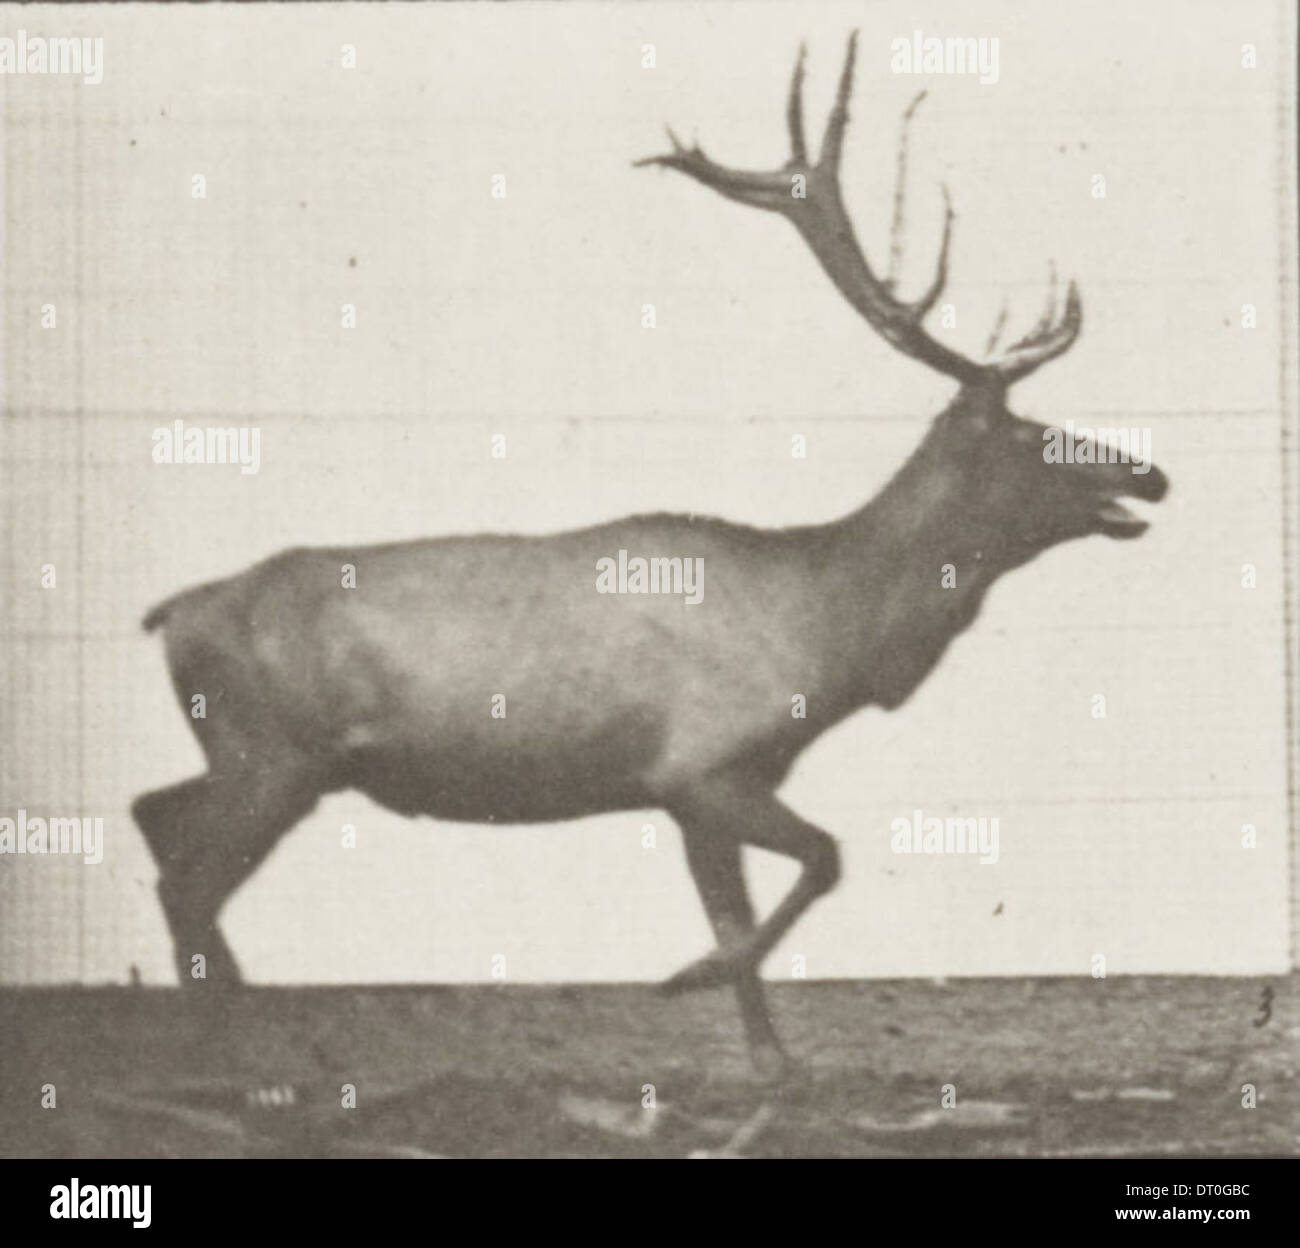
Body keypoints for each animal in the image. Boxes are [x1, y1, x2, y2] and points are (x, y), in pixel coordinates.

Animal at [133, 32, 1167, 1082]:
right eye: (1030, 436)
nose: (1152, 473)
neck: (830, 632)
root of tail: (173, 613)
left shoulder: (698, 794)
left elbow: (742, 912)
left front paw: (769, 1059)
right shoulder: (700, 765)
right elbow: (822, 861)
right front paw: (688, 979)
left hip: (258, 760)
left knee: (155, 818)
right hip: (273, 755)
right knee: (185, 876)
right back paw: (224, 1053)